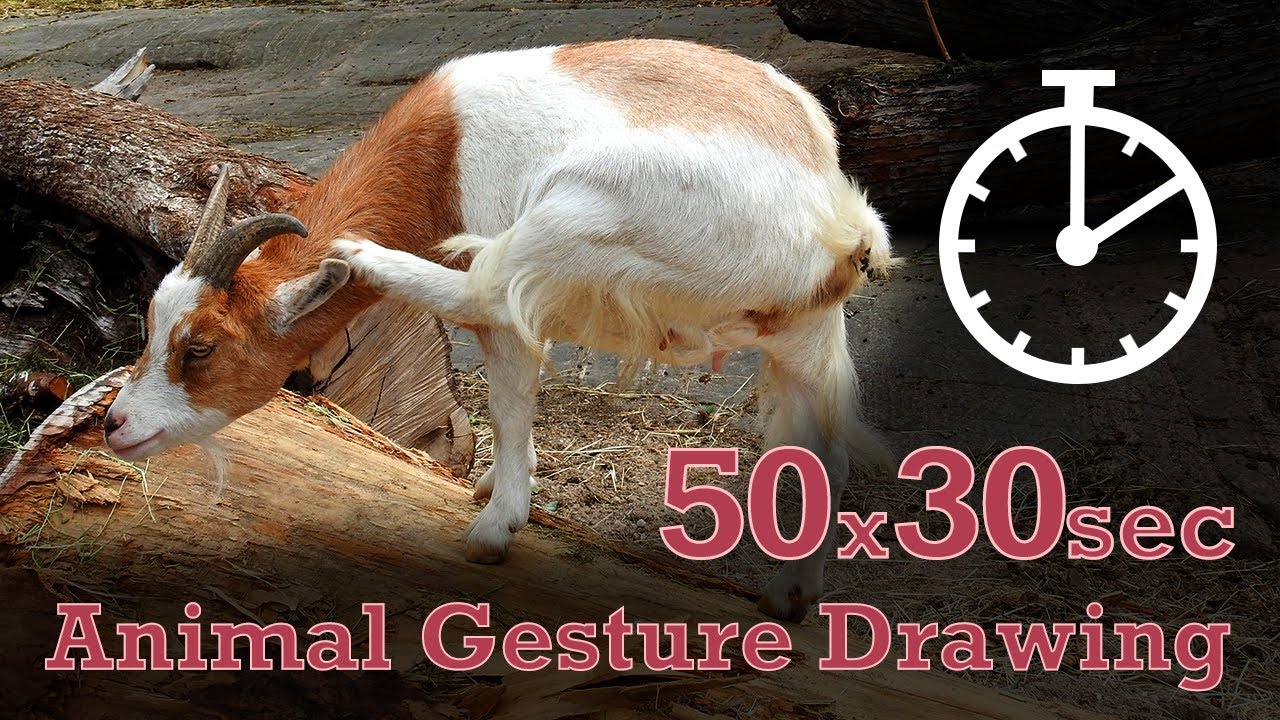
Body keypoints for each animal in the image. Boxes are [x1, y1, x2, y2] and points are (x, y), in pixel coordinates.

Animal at [105, 39, 893, 621]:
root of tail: (836, 218)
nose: (115, 425)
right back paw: (792, 594)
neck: (441, 151)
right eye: (153, 324)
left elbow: (510, 398)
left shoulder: (513, 317)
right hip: (805, 338)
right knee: (821, 449)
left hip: (569, 212)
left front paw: (496, 524)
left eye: (200, 347)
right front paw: (494, 488)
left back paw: (364, 256)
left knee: (481, 288)